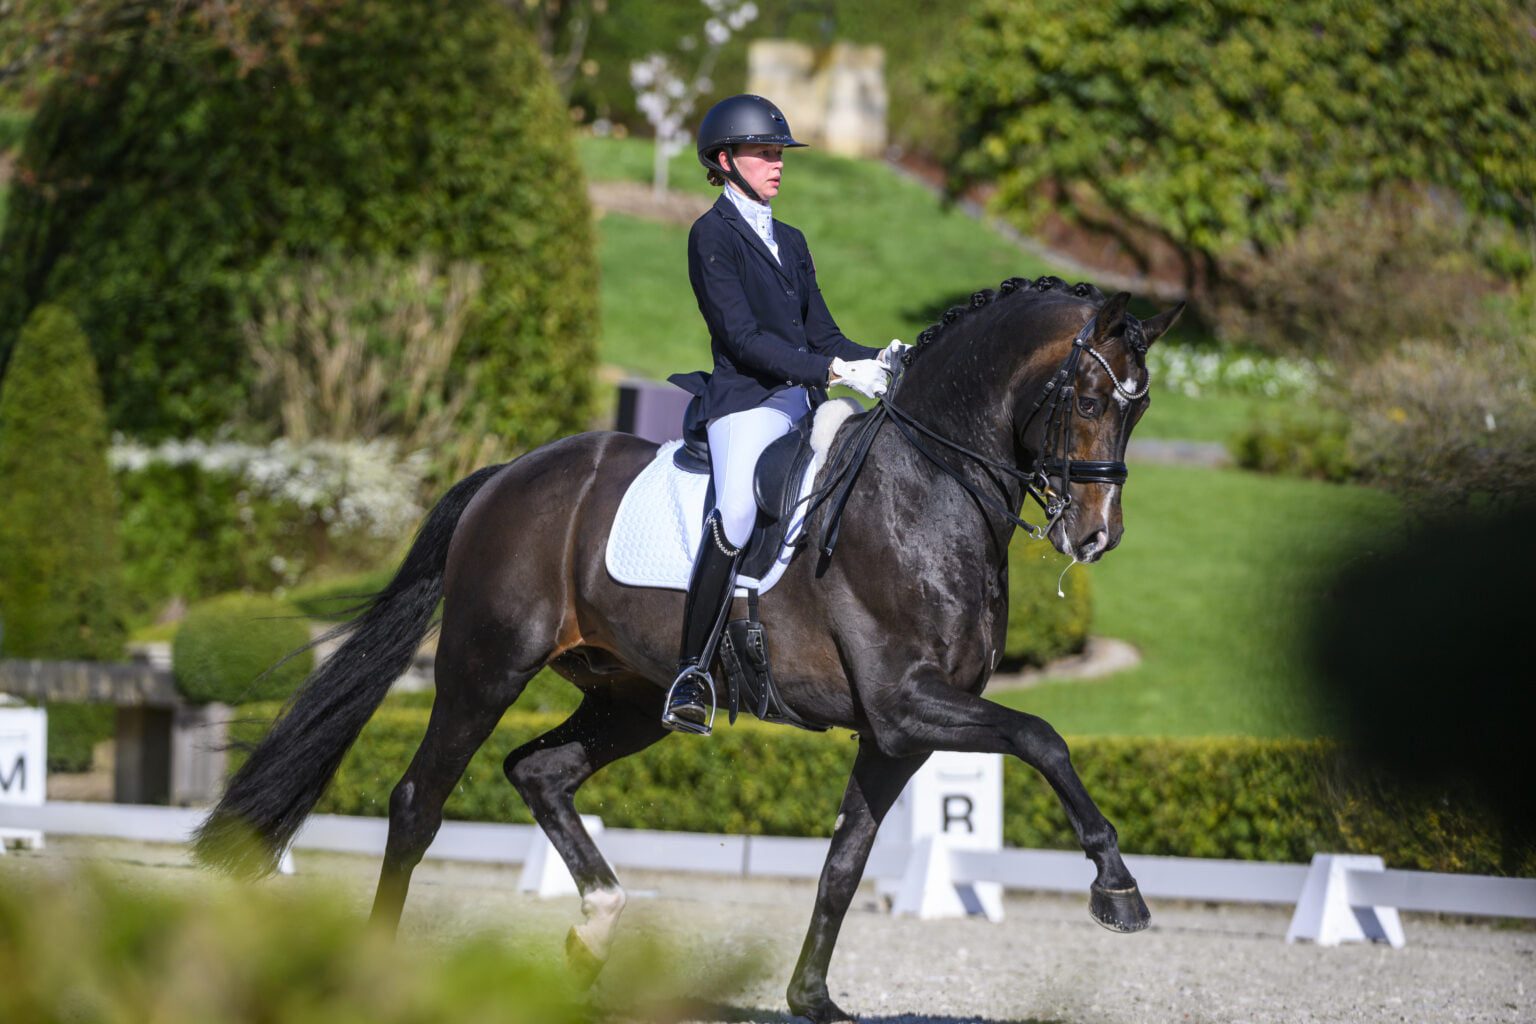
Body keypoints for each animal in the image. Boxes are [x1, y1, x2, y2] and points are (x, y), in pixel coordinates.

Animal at [194, 275, 1183, 1024]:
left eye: (1138, 413)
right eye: (1087, 399)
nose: (1095, 537)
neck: (927, 485)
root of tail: (508, 476)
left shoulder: (894, 734)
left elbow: (845, 863)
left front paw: (811, 1000)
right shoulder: (909, 701)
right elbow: (1044, 736)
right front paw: (1117, 887)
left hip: (633, 697)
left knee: (538, 773)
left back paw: (593, 934)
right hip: (485, 666)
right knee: (416, 803)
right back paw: (383, 971)